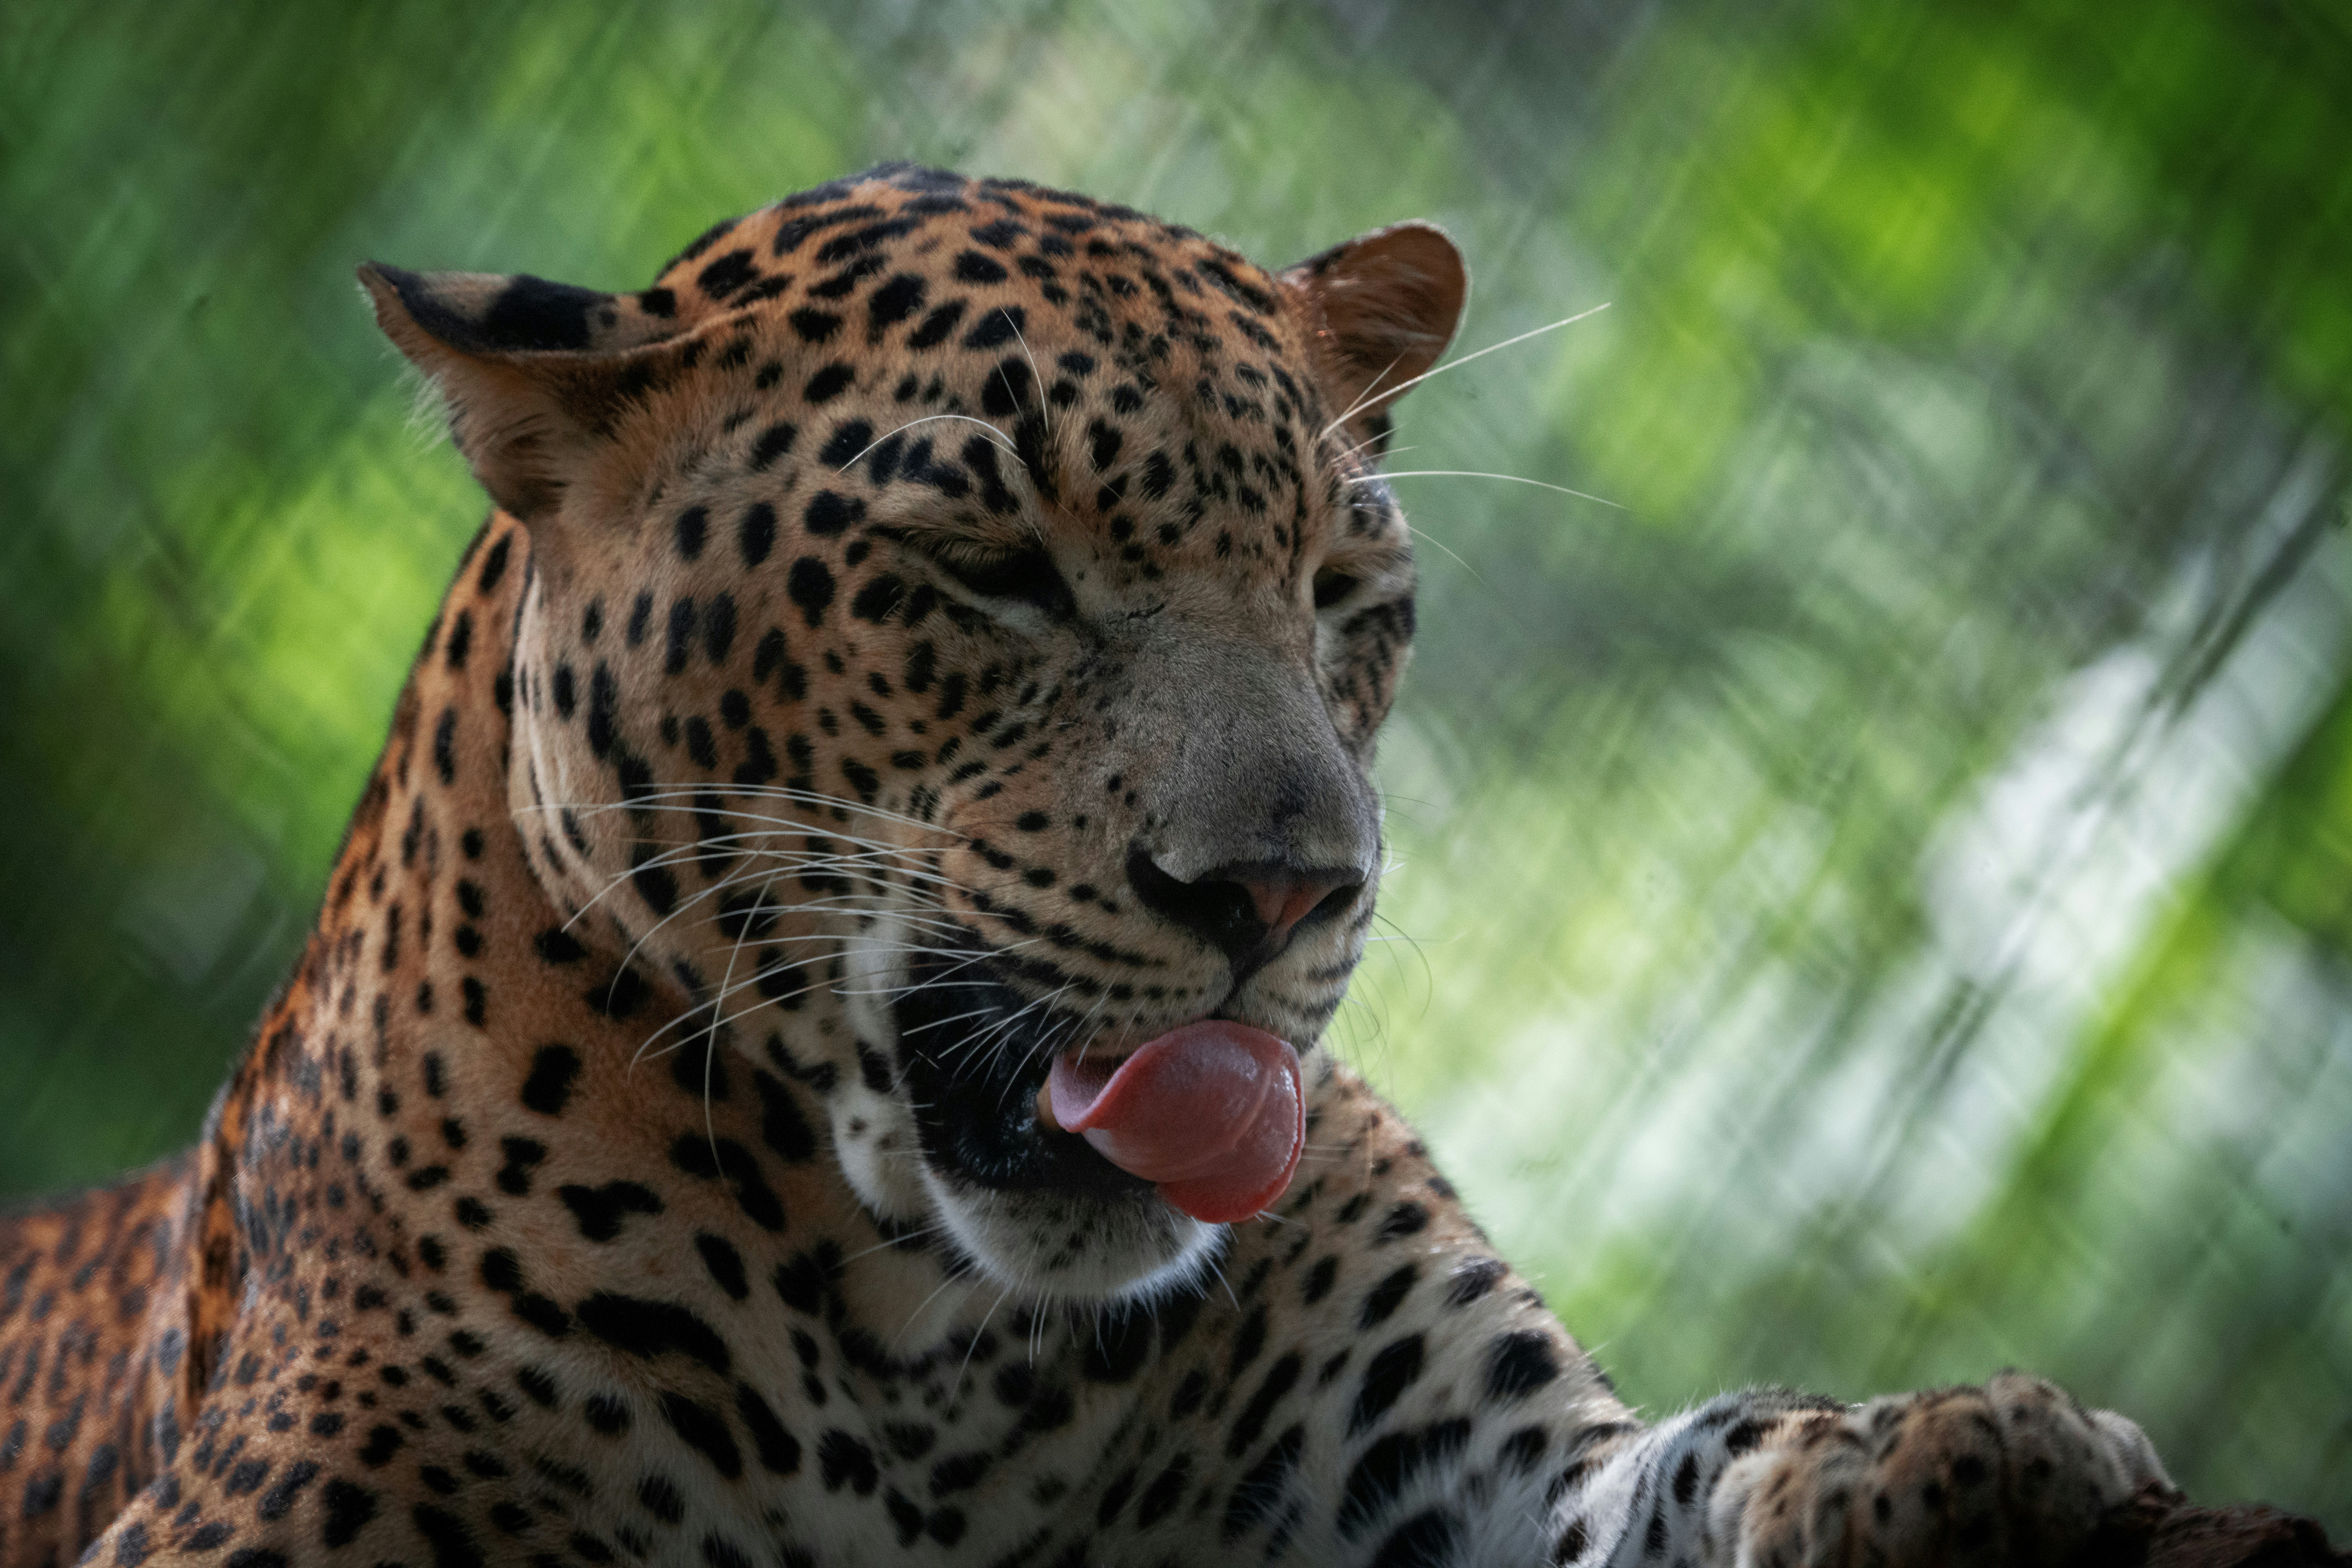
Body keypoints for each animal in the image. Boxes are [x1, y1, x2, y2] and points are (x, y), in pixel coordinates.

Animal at [0, 163, 2179, 1568]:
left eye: (1344, 594)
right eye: (992, 571)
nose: (1287, 897)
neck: (925, 1347)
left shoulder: (1469, 1467)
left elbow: (1706, 1455)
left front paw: (1972, 1443)